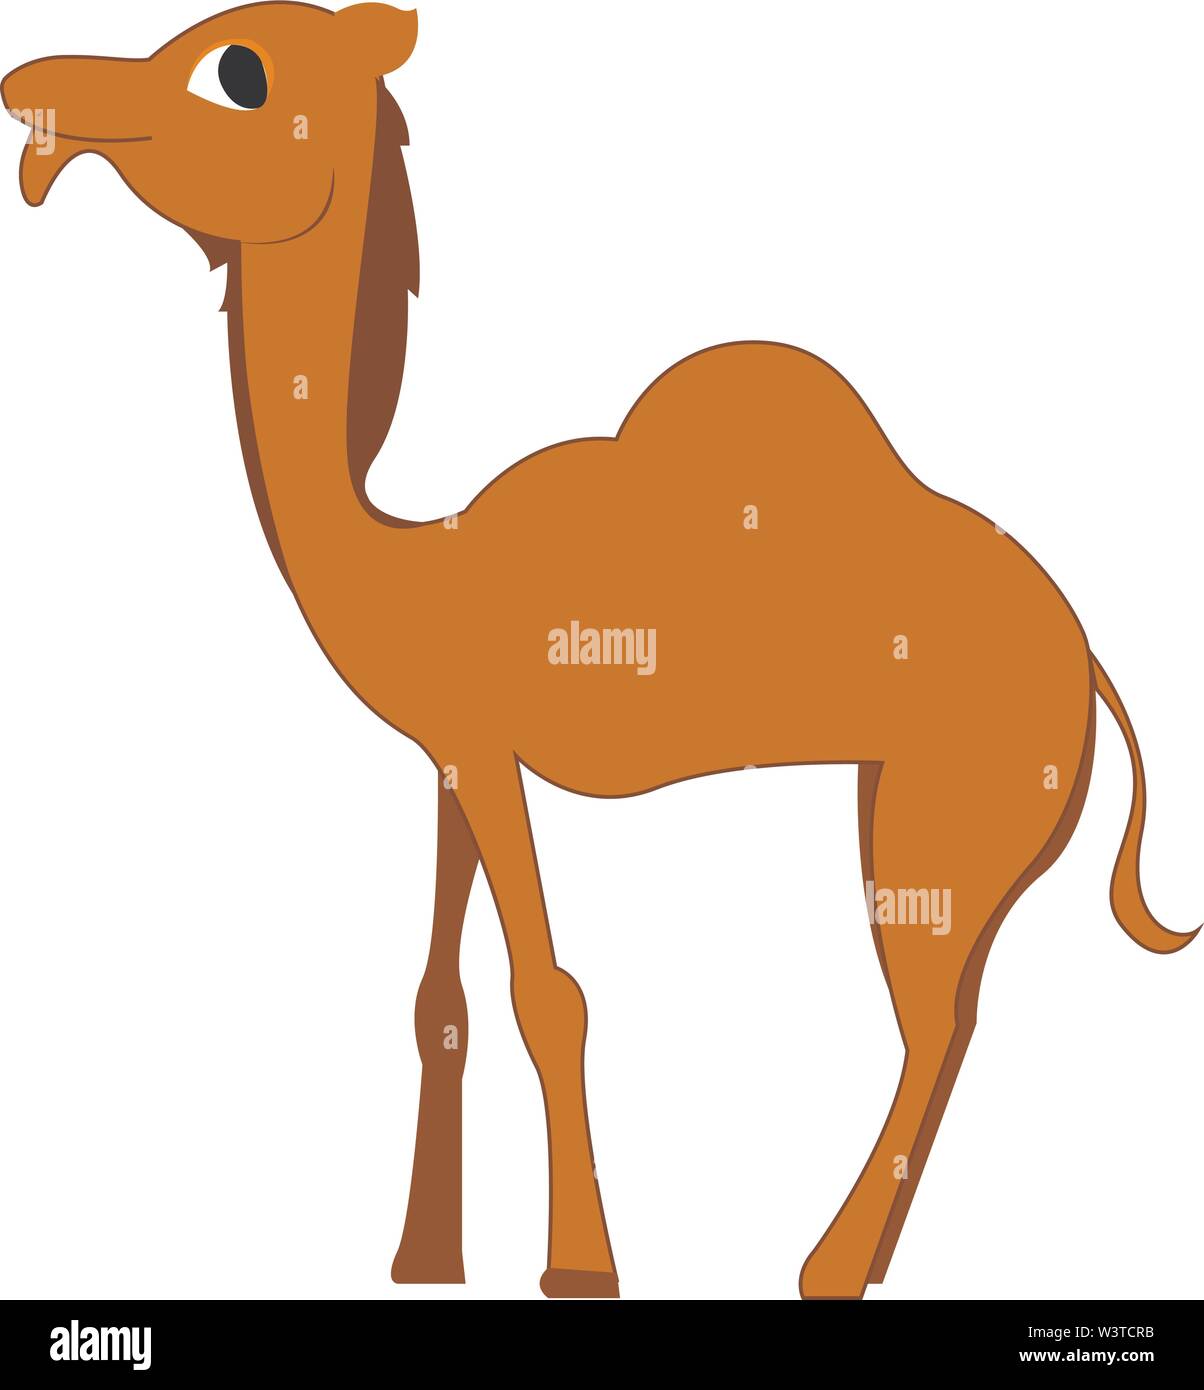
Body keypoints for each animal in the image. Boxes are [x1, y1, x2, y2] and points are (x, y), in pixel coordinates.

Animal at [4, 2, 1197, 1301]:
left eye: (239, 71)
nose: (34, 89)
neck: (417, 568)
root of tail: (1087, 656)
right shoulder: (454, 760)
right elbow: (440, 998)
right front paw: (424, 1258)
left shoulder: (490, 746)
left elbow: (548, 994)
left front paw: (579, 1264)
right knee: (950, 1011)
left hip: (953, 803)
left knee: (933, 1014)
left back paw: (823, 1265)